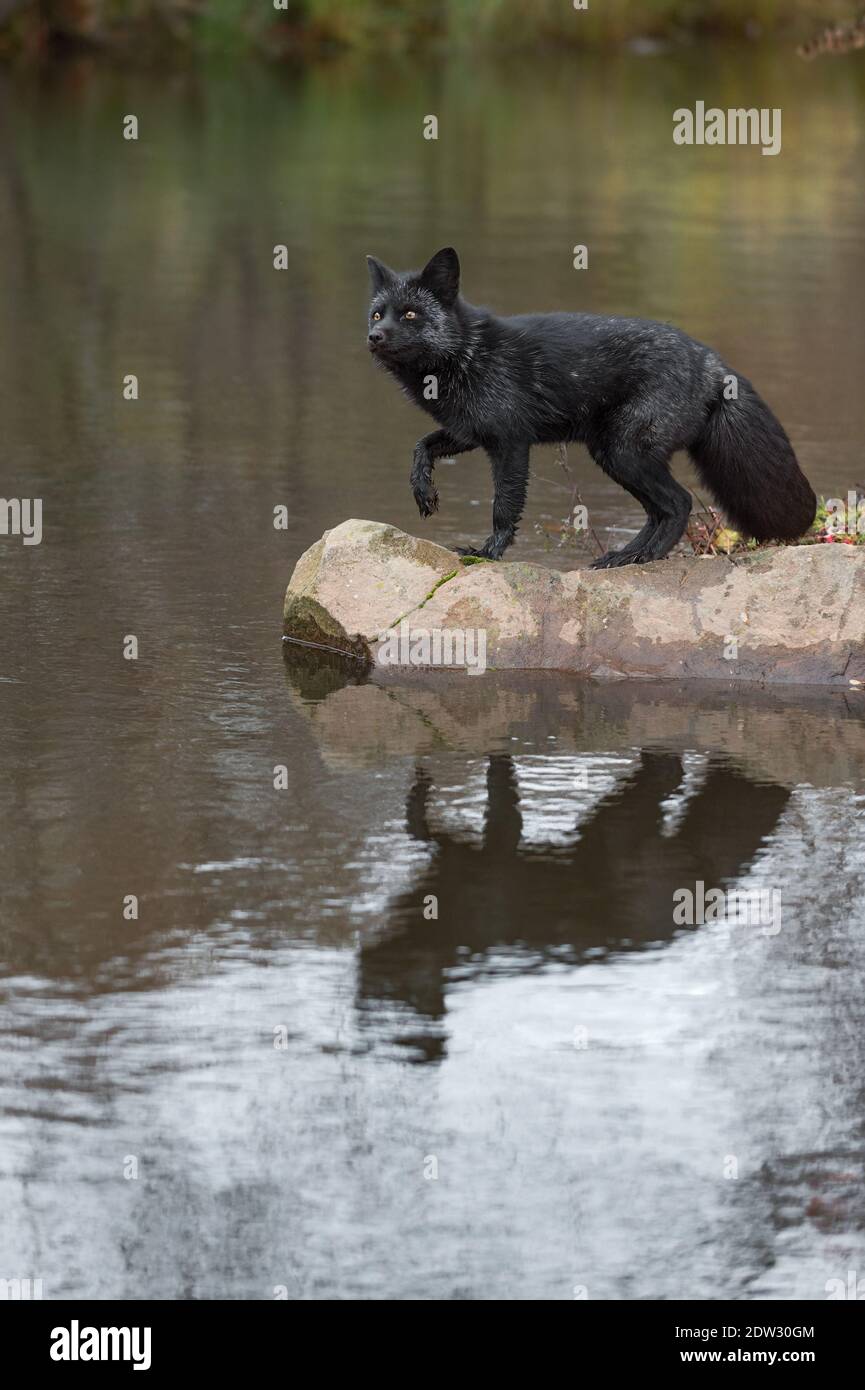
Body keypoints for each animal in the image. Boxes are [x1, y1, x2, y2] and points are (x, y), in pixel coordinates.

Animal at [366, 247, 816, 567]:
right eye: (376, 314)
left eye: (410, 315)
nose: (374, 336)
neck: (467, 354)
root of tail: (715, 365)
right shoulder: (469, 432)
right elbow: (421, 446)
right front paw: (423, 492)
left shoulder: (510, 444)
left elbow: (503, 507)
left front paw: (487, 553)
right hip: (613, 455)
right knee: (660, 510)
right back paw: (624, 556)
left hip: (624, 451)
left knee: (680, 503)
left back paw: (643, 557)